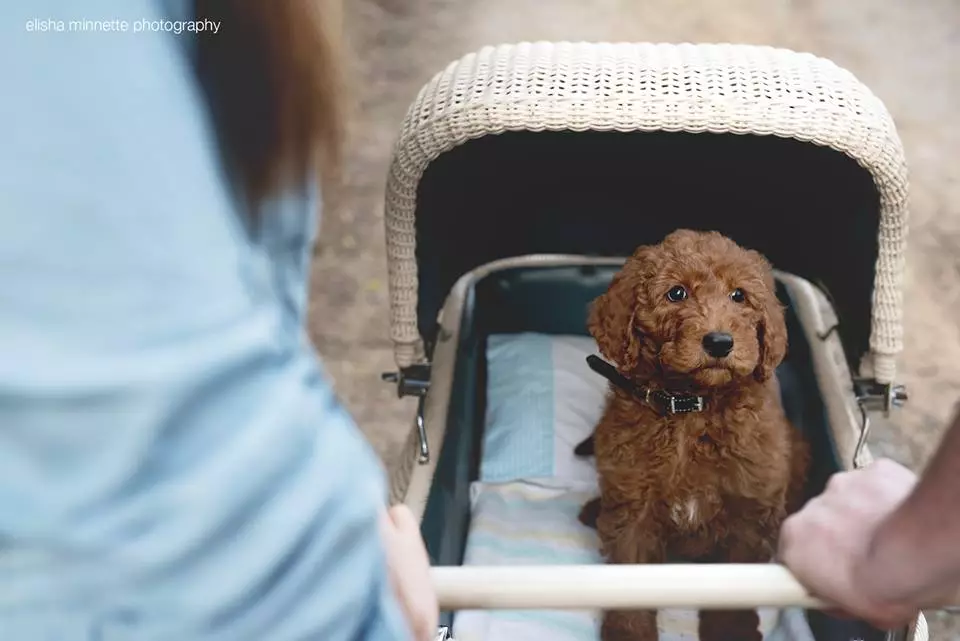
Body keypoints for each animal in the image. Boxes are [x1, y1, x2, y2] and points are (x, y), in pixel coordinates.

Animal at [580, 230, 808, 640]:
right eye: (677, 293)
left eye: (739, 296)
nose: (719, 342)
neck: (691, 408)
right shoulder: (633, 507)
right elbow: (628, 579)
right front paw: (629, 632)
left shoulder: (749, 510)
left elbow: (737, 581)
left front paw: (732, 631)